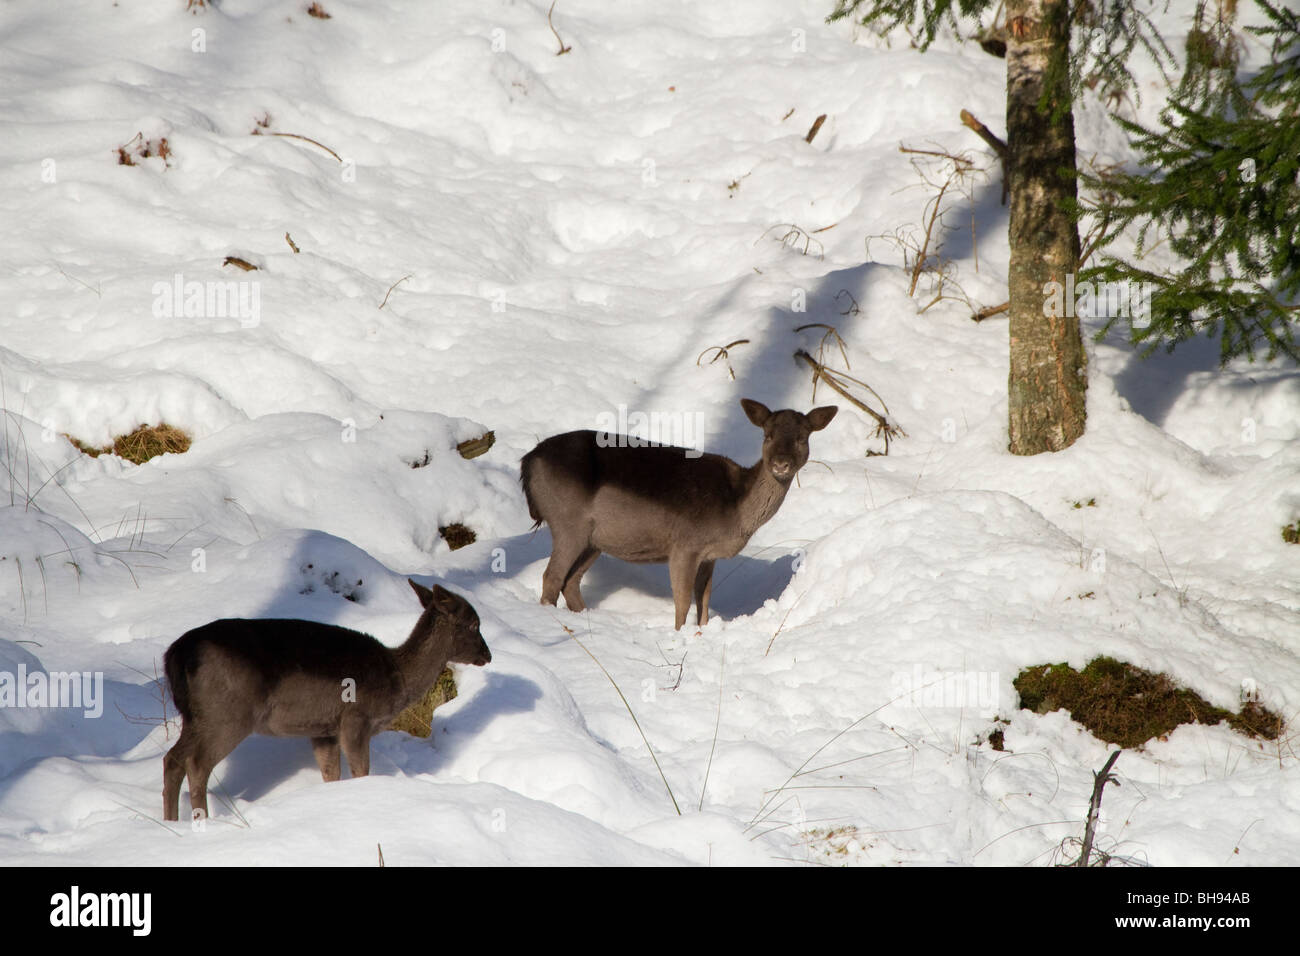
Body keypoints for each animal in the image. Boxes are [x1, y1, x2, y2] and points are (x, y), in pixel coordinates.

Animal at [162, 579, 491, 822]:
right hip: (229, 713)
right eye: (473, 624)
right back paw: (201, 822)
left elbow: (331, 775)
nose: (487, 655)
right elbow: (360, 772)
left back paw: (171, 822)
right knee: (197, 762)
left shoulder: (324, 730)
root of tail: (177, 655)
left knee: (172, 759)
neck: (397, 678)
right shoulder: (355, 718)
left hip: (195, 715)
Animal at [520, 398, 837, 630]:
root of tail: (528, 462)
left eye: (802, 438)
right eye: (767, 435)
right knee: (552, 577)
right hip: (568, 522)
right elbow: (683, 602)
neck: (734, 507)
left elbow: (704, 601)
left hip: (593, 540)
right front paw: (678, 635)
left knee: (570, 581)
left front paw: (701, 632)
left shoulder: (709, 556)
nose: (781, 464)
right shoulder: (684, 545)